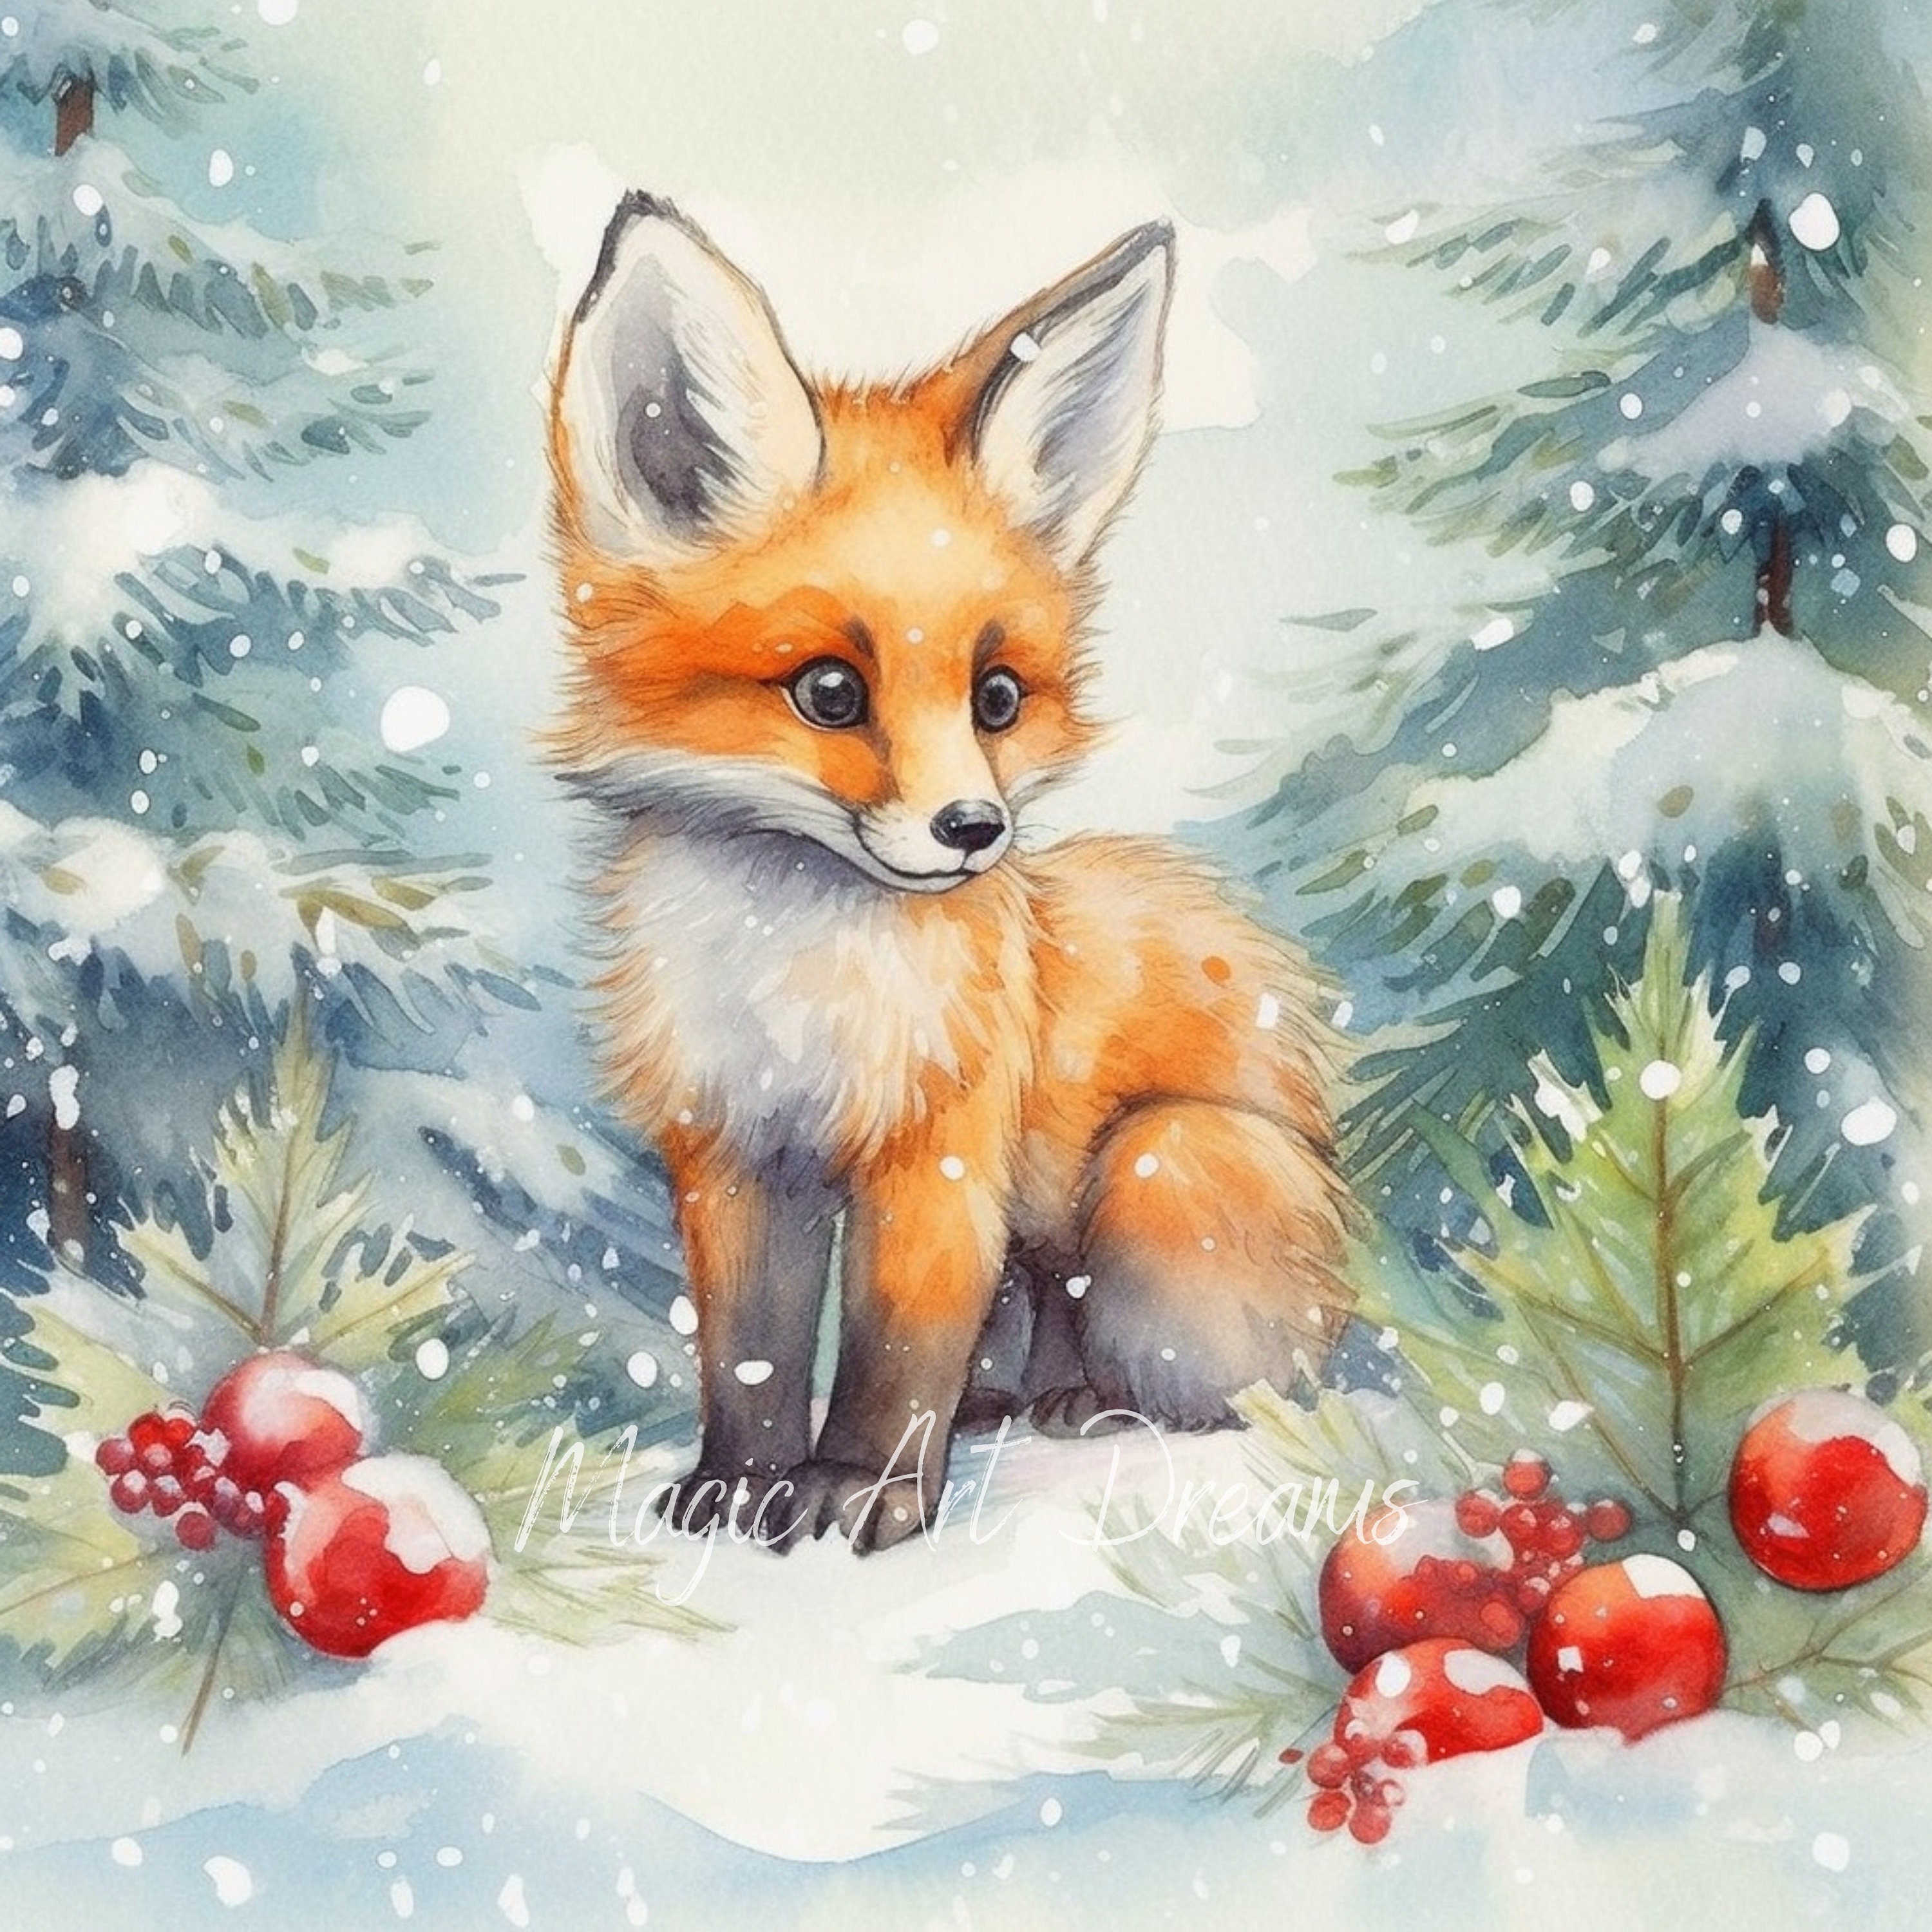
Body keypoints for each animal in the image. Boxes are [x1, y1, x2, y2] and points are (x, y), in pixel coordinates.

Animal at [547, 194, 1355, 1553]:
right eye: (830, 692)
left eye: (997, 699)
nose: (976, 830)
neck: (795, 985)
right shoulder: (734, 1152)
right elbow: (750, 1357)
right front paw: (742, 1487)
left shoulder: (939, 1145)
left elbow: (894, 1347)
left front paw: (862, 1492)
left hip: (1165, 1163)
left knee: (1243, 1386)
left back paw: (1103, 1407)